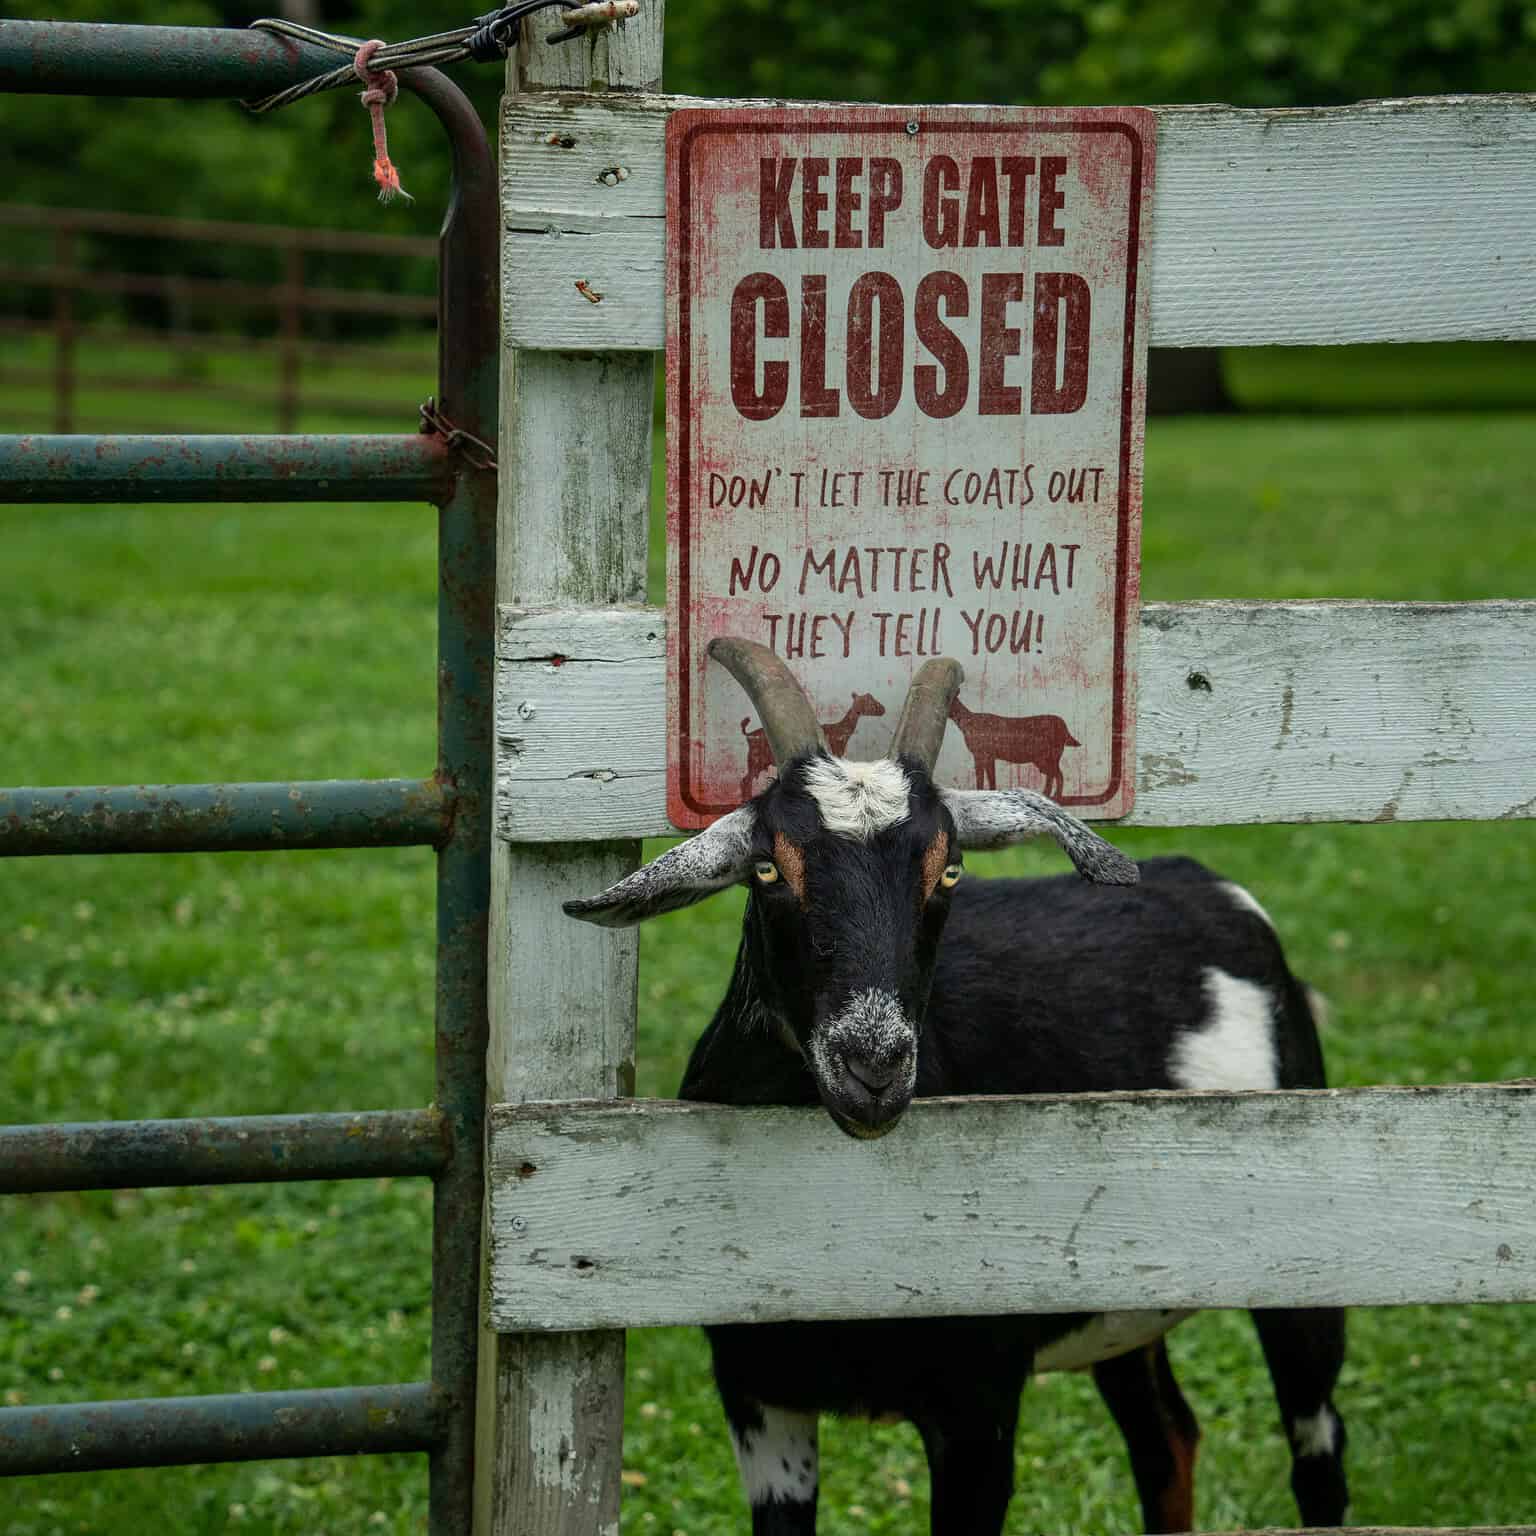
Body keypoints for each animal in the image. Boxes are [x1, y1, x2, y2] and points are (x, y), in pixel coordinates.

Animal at [741, 689, 886, 800]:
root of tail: (749, 735)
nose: (883, 709)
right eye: (868, 701)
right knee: (745, 780)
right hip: (755, 761)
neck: (840, 731)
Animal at [947, 694, 1080, 795]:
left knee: (1056, 775)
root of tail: (1063, 726)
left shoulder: (980, 754)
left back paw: (1053, 796)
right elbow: (991, 779)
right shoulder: (989, 756)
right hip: (1052, 757)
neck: (966, 723)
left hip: (1043, 757)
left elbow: (980, 779)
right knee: (1056, 774)